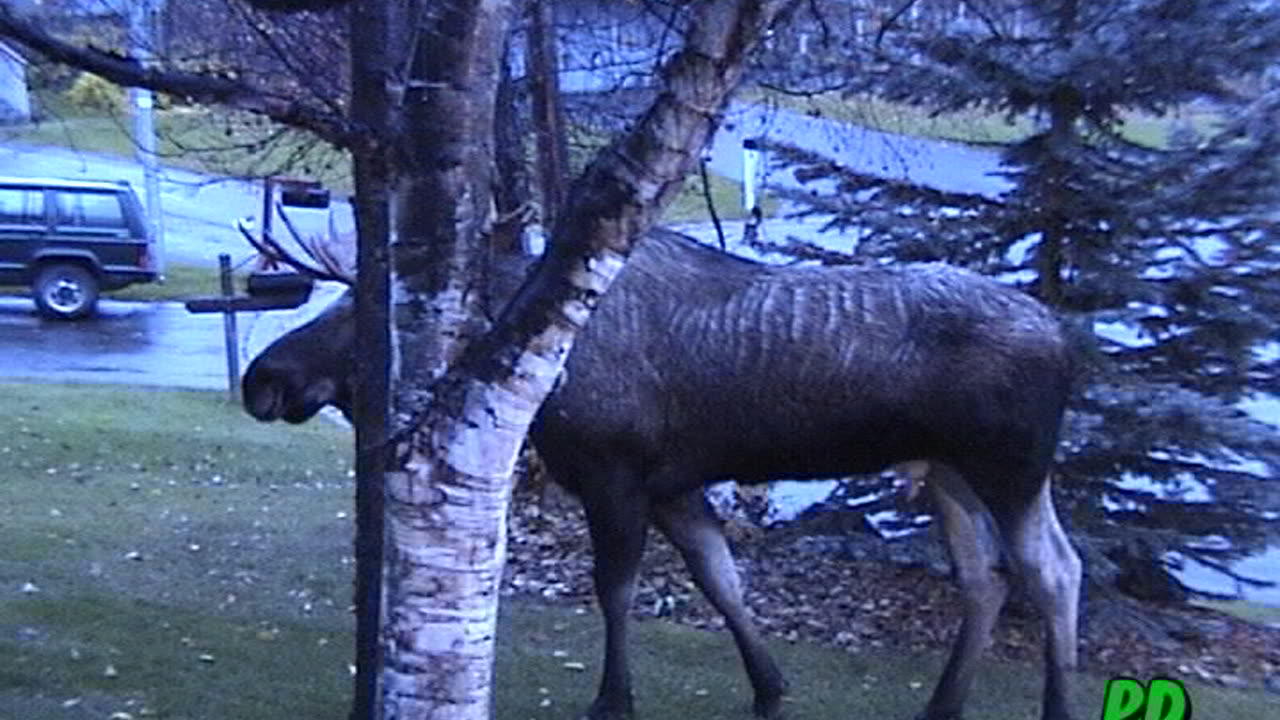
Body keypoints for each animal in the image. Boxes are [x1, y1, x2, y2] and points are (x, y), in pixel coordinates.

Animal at [240, 216, 1082, 720]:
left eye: (360, 318)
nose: (262, 378)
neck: (541, 375)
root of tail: (1069, 338)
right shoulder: (676, 486)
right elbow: (721, 580)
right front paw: (770, 687)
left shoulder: (616, 475)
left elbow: (616, 591)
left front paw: (613, 700)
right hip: (948, 473)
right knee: (986, 579)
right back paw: (943, 704)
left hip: (1008, 466)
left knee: (1055, 570)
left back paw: (1056, 707)